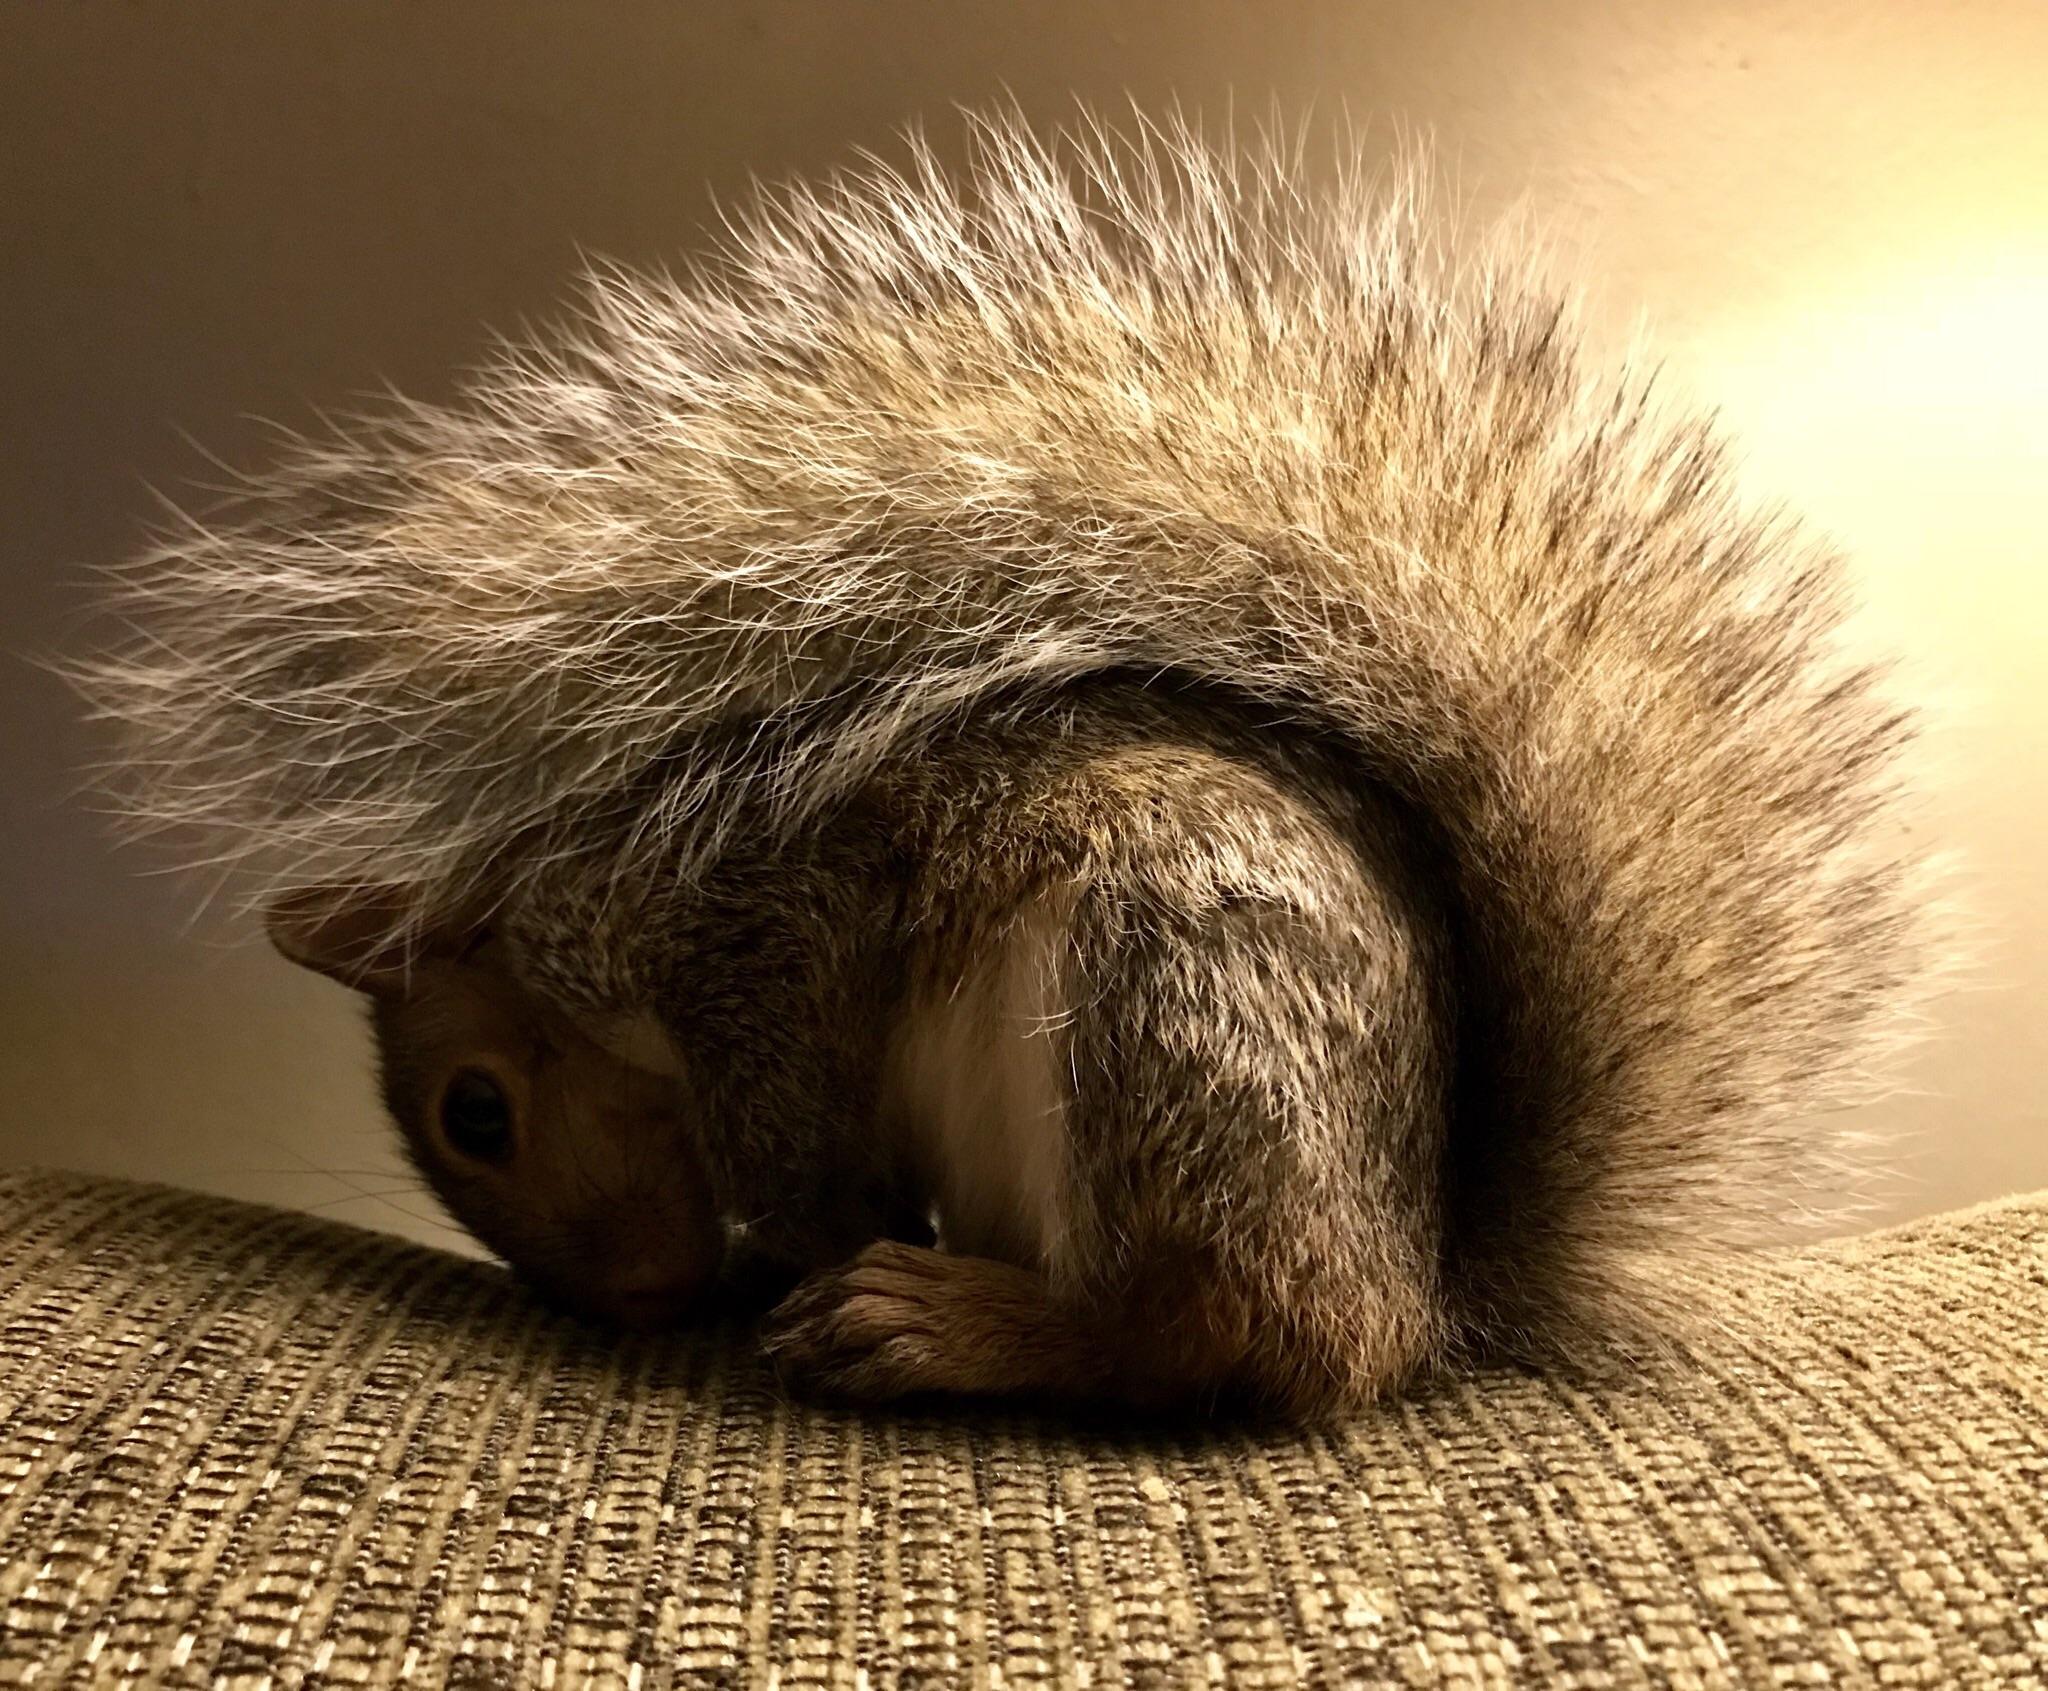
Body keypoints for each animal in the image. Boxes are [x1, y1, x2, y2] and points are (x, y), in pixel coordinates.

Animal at [81, 113, 1936, 1417]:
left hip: (1167, 990)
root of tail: (1423, 1279)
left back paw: (946, 1319)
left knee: (1240, 1336)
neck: (593, 911)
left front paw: (790, 1251)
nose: (634, 1304)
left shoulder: (765, 940)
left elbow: (793, 1141)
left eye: (476, 1112)